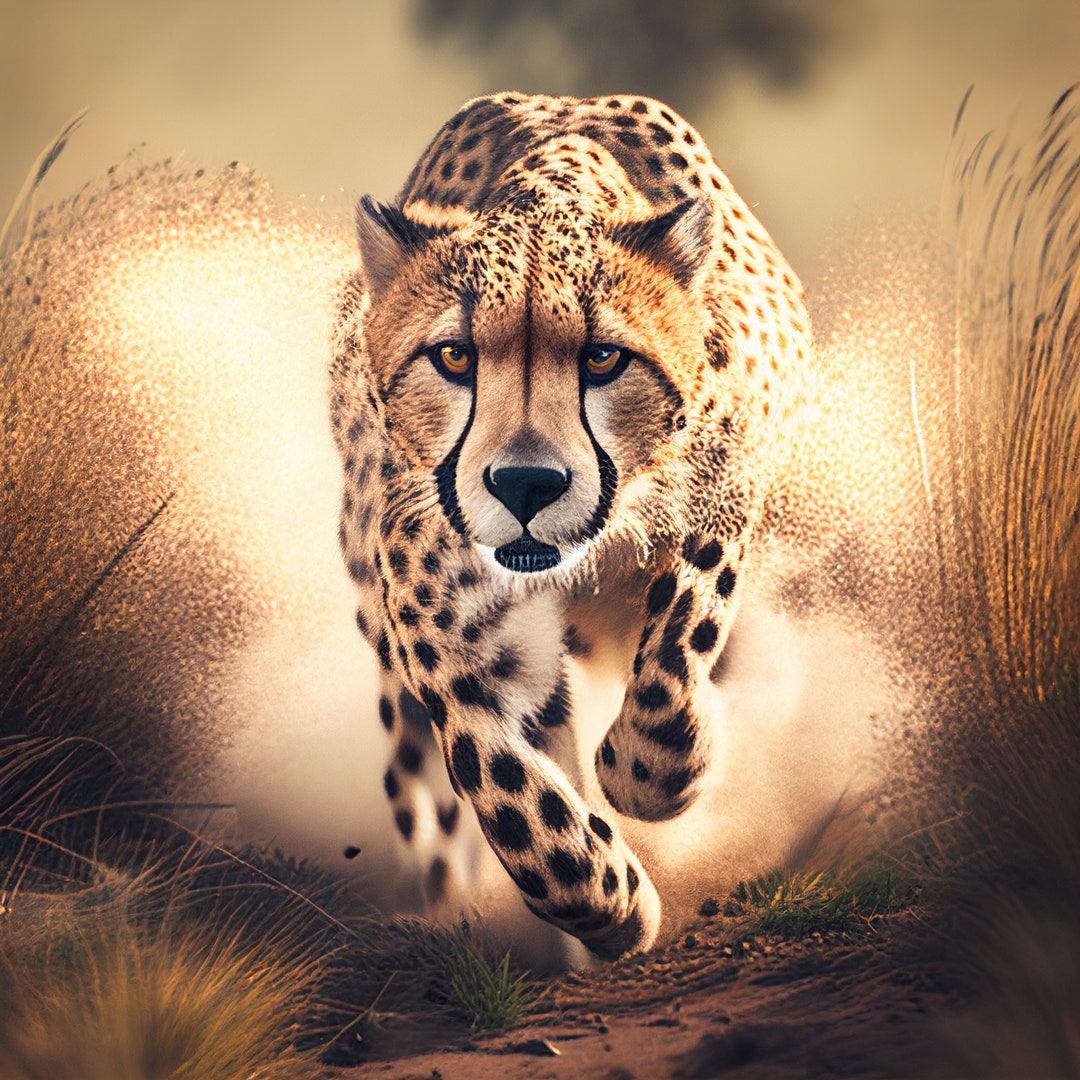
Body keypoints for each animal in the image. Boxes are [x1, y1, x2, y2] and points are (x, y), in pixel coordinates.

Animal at [329, 92, 811, 959]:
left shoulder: (723, 500)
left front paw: (647, 775)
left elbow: (673, 663)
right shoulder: (455, 651)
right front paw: (609, 903)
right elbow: (511, 798)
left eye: (603, 359)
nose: (527, 483)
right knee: (421, 789)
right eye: (454, 357)